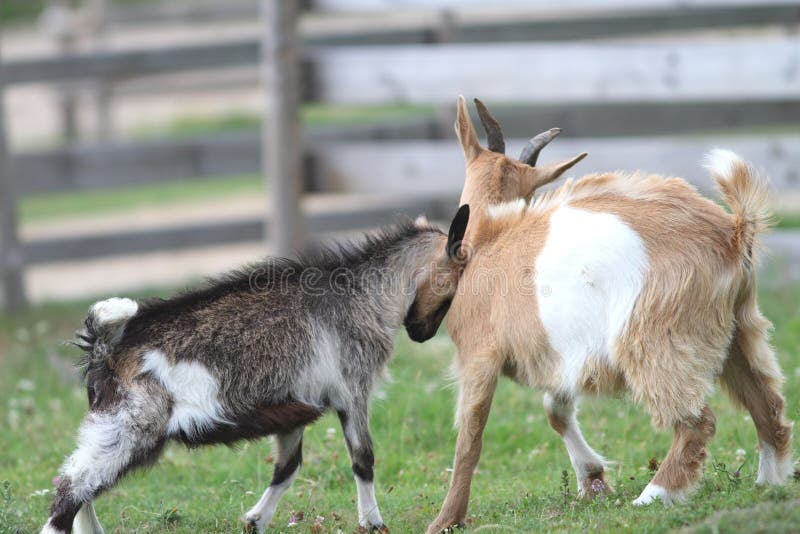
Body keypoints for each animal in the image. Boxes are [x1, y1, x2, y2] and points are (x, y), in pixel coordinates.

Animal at [40, 206, 470, 534]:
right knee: (72, 488)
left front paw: (255, 520)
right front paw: (373, 523)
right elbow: (363, 459)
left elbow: (287, 467)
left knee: (84, 488)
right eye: (456, 281)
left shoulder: (297, 405)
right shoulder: (352, 391)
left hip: (110, 426)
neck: (366, 294)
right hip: (128, 426)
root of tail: (105, 347)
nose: (421, 334)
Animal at [426, 97, 793, 533]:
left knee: (697, 420)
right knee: (767, 404)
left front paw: (446, 519)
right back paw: (769, 482)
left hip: (656, 336)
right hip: (739, 328)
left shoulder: (479, 355)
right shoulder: (561, 355)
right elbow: (555, 410)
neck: (486, 240)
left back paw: (653, 495)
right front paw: (593, 480)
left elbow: (470, 436)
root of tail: (734, 231)